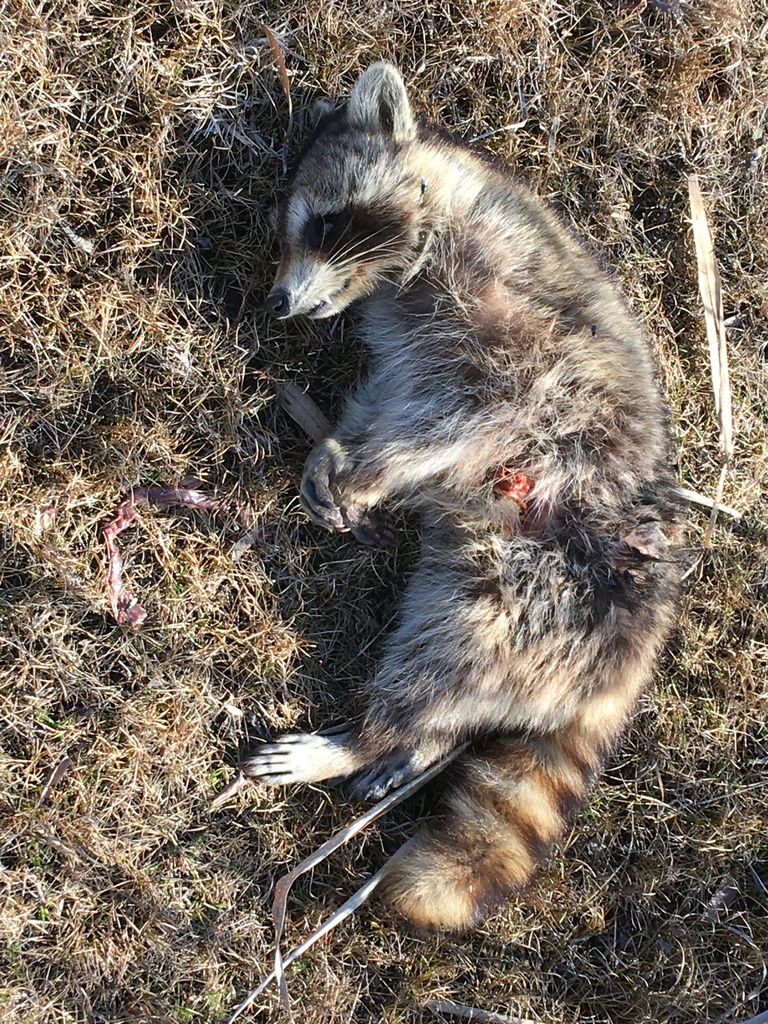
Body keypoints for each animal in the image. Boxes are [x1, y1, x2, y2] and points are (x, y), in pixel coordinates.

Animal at [244, 63, 682, 930]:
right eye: (288, 231)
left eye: (321, 223)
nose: (276, 302)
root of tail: (633, 656)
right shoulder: (405, 344)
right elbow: (391, 395)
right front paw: (336, 448)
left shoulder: (515, 326)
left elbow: (466, 416)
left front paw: (374, 466)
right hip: (496, 586)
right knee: (450, 664)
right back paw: (419, 745)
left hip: (546, 596)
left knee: (440, 661)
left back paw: (370, 738)